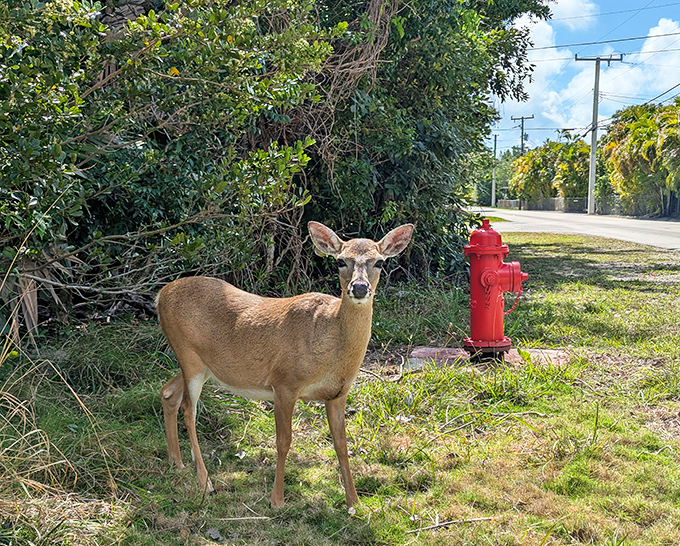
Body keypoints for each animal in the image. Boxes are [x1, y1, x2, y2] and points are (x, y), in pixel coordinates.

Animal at [156, 221, 414, 508]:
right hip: (188, 355)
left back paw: (177, 463)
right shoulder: (285, 383)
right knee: (188, 410)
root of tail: (160, 295)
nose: (359, 288)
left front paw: (354, 501)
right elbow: (283, 441)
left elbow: (341, 444)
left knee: (168, 392)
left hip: (200, 365)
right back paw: (205, 483)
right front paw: (276, 500)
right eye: (340, 261)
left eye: (379, 262)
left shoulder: (338, 393)